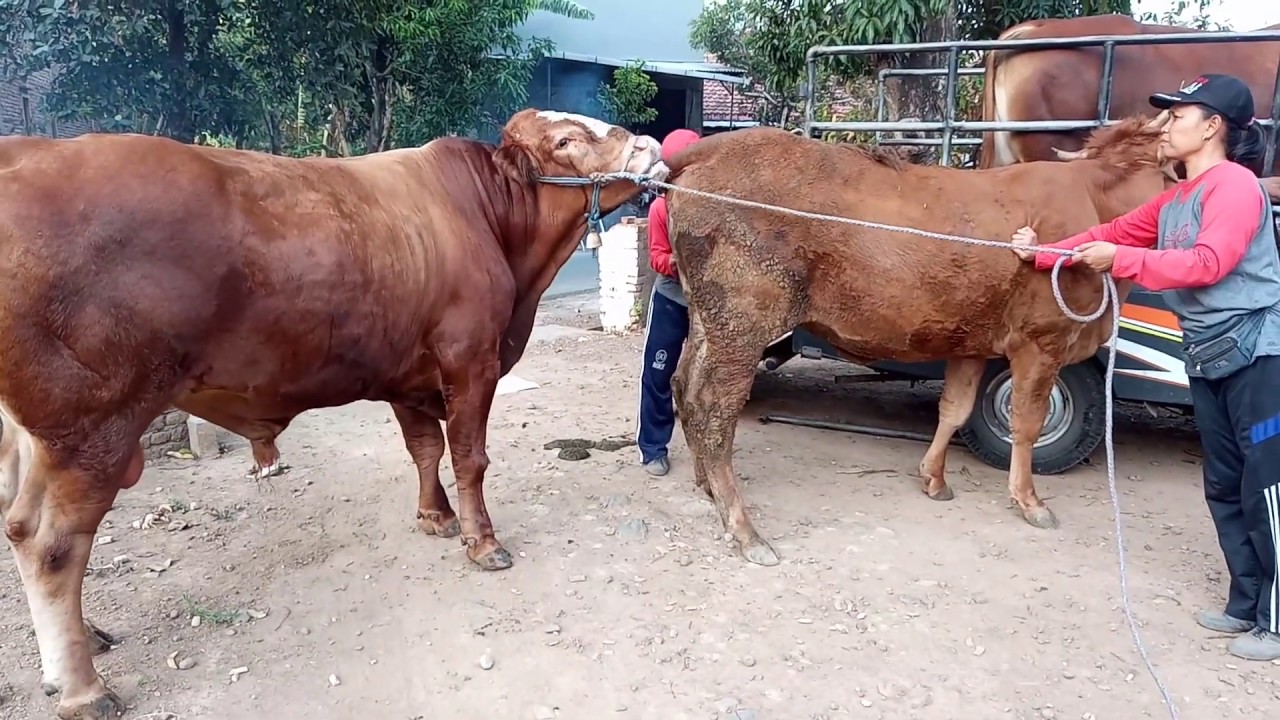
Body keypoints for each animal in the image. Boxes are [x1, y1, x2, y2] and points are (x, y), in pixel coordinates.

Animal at [0, 108, 664, 719]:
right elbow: (468, 457)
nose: (651, 145)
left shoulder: (409, 375)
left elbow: (425, 449)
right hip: (93, 429)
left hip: (34, 440)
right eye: (566, 140)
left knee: (18, 525)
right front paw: (481, 540)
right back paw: (83, 687)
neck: (490, 223)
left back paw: (89, 640)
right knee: (50, 544)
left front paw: (435, 516)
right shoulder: (470, 361)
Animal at [662, 112, 1175, 566]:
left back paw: (707, 486)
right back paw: (743, 528)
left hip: (710, 319)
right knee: (714, 409)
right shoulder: (1041, 342)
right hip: (743, 320)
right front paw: (1030, 501)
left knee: (684, 385)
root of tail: (718, 146)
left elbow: (955, 410)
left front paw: (934, 478)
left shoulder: (971, 343)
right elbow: (1026, 425)